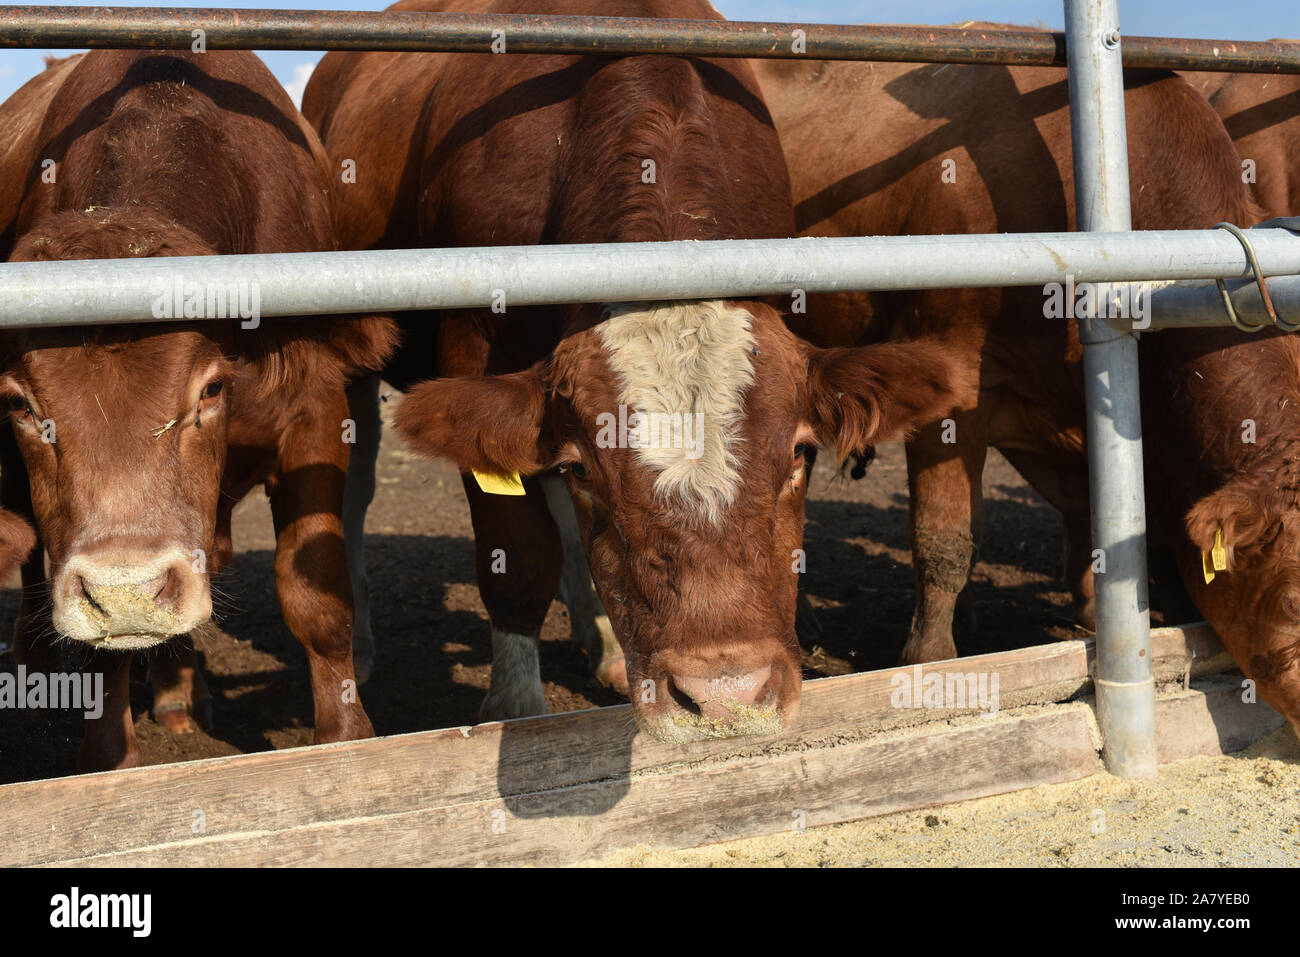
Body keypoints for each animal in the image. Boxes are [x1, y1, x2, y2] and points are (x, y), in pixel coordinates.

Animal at [0, 49, 396, 770]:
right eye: (20, 402)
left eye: (210, 390)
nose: (125, 591)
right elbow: (104, 655)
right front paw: (112, 760)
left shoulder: (316, 412)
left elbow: (316, 596)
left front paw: (346, 740)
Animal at [304, 0, 964, 742]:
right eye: (588, 465)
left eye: (800, 453)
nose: (725, 695)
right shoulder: (474, 354)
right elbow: (517, 553)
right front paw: (518, 706)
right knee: (355, 487)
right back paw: (362, 646)